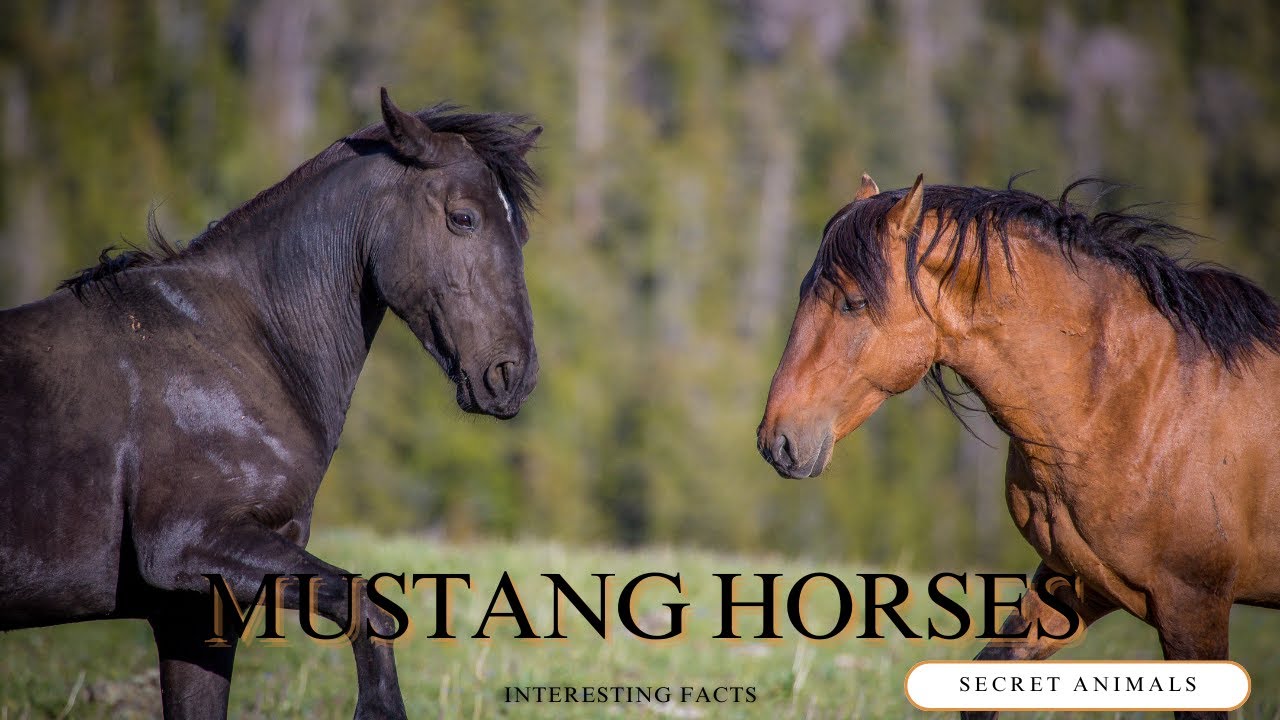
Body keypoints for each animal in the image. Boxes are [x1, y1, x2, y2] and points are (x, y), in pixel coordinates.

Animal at [0, 88, 542, 719]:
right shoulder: (185, 545)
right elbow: (366, 603)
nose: (513, 375)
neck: (241, 344)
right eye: (463, 218)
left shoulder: (192, 611)